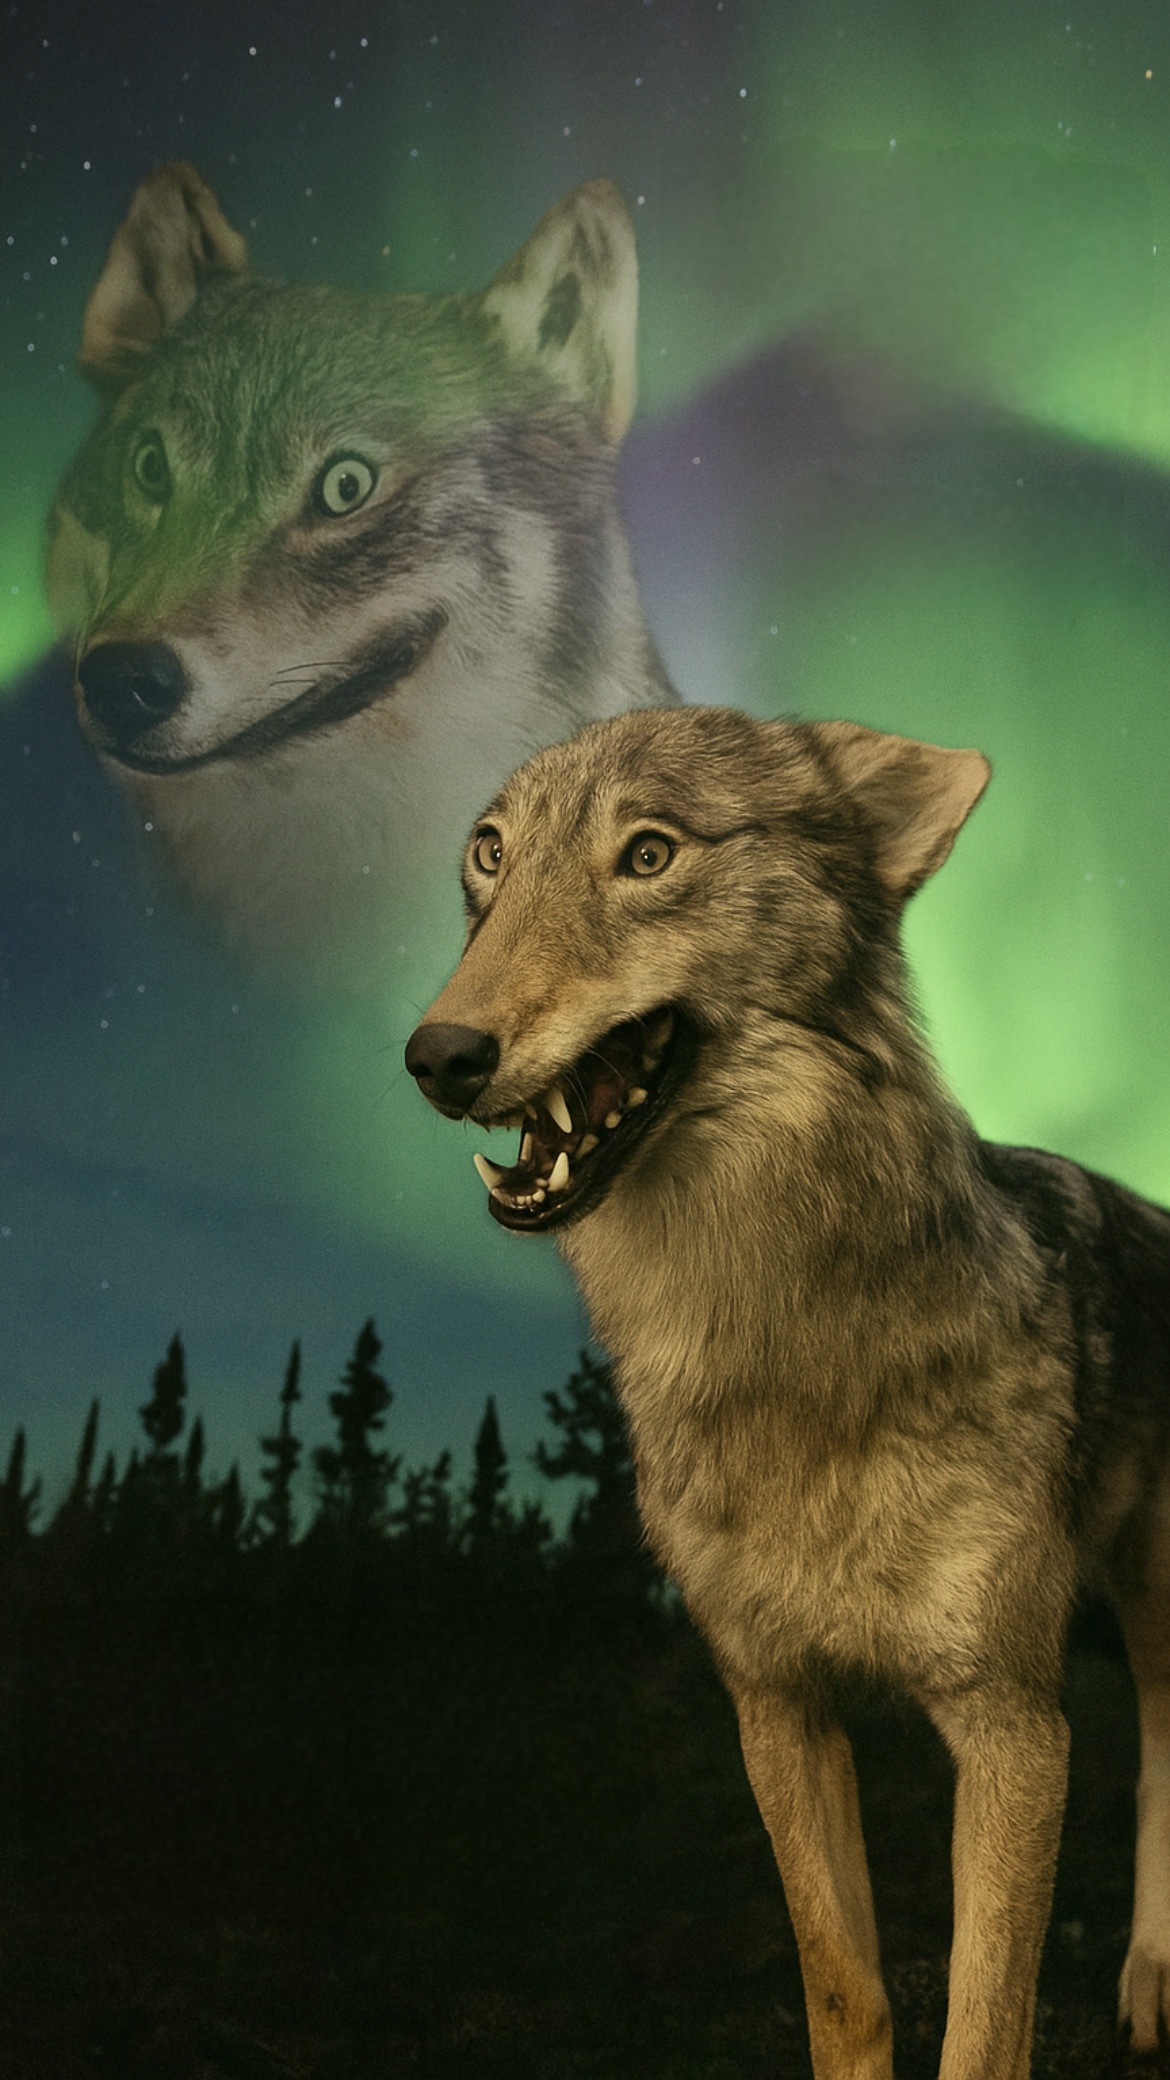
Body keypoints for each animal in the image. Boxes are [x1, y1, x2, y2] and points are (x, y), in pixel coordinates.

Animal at [404, 704, 1170, 2079]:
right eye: (490, 855)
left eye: (649, 854)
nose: (437, 1055)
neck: (777, 1342)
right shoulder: (775, 1703)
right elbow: (844, 1990)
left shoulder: (1014, 1726)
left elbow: (982, 2019)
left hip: (1154, 1600)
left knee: (1162, 1754)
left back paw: (1148, 1981)